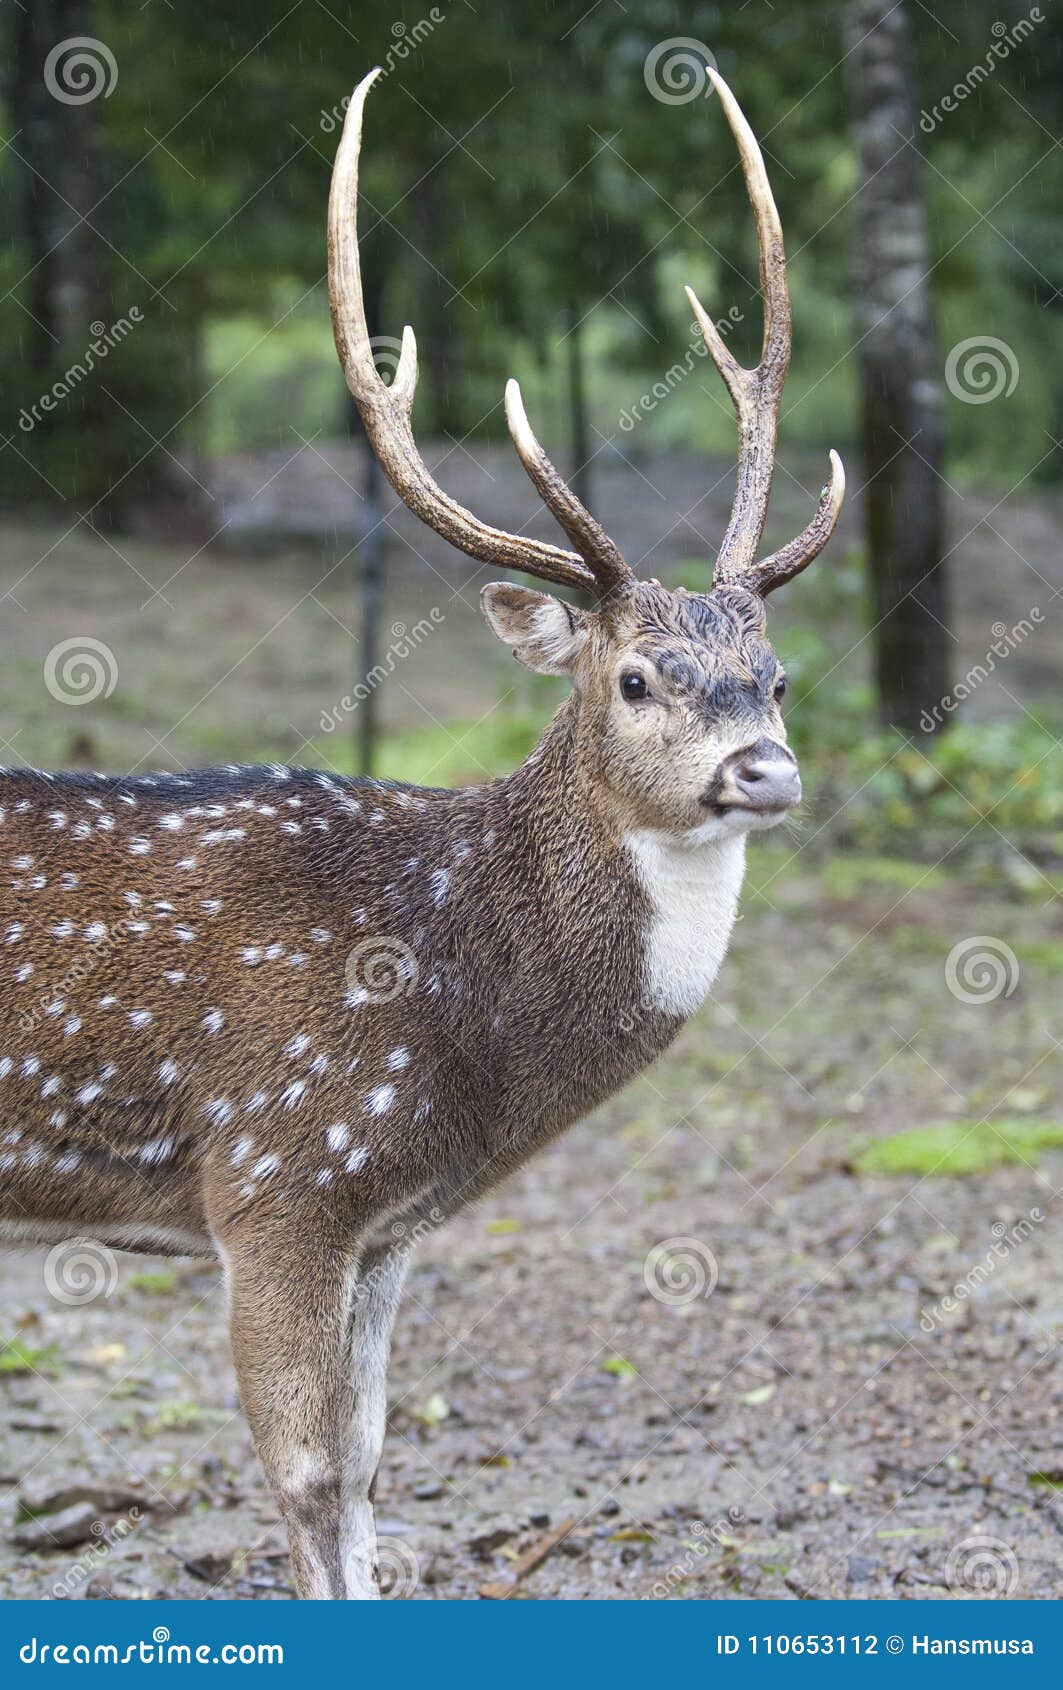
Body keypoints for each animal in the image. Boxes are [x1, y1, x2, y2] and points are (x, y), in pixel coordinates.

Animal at [0, 66, 843, 1599]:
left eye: (775, 673)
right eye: (636, 678)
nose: (765, 769)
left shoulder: (384, 1223)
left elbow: (374, 1470)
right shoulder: (276, 1175)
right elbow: (308, 1477)